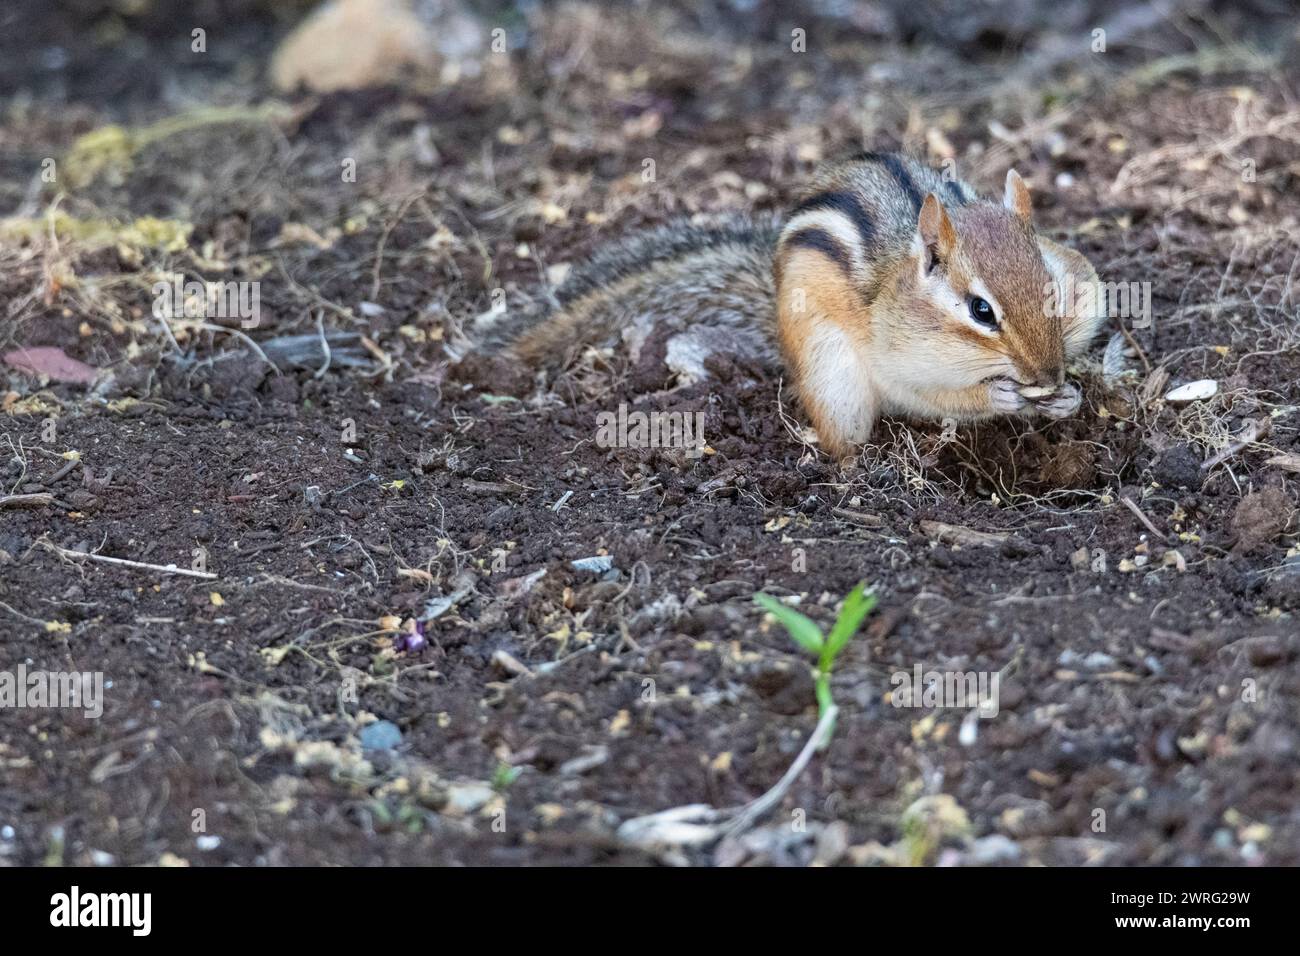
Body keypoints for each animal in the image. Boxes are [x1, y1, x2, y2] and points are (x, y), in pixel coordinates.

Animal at [504, 152, 1104, 457]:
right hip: (831, 377)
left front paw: (1067, 399)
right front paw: (1000, 394)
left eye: (1052, 286)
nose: (1047, 375)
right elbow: (931, 394)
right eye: (981, 311)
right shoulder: (901, 361)